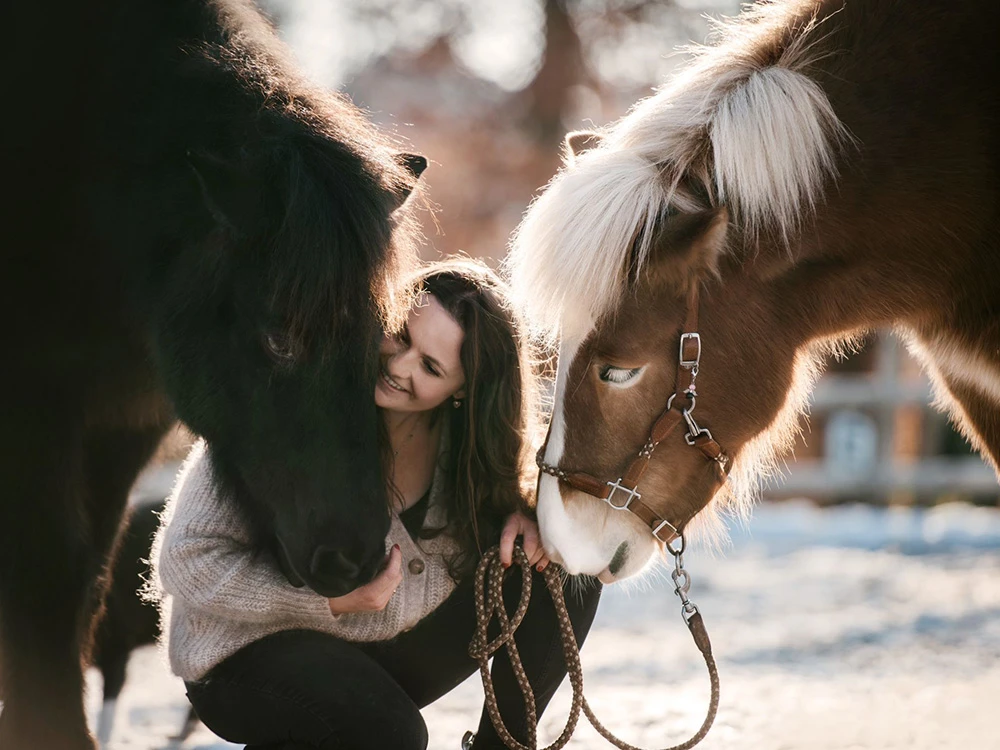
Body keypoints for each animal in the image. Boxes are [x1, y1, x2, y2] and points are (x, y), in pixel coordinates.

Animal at [1, 1, 425, 747]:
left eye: (384, 341)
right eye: (278, 337)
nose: (355, 559)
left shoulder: (120, 425)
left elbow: (84, 579)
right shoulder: (35, 409)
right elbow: (44, 578)